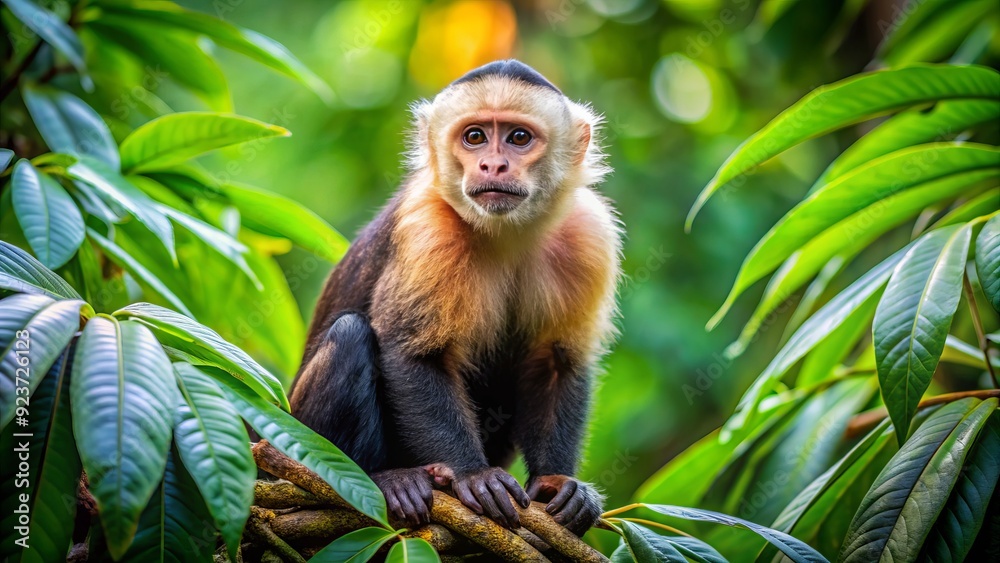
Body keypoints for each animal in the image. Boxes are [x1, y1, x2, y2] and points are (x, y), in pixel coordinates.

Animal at [290, 60, 621, 536]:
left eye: (519, 138)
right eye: (475, 136)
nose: (492, 164)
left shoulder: (588, 232)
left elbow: (557, 360)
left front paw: (556, 484)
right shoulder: (427, 226)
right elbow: (413, 355)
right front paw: (472, 475)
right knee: (351, 334)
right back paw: (387, 479)